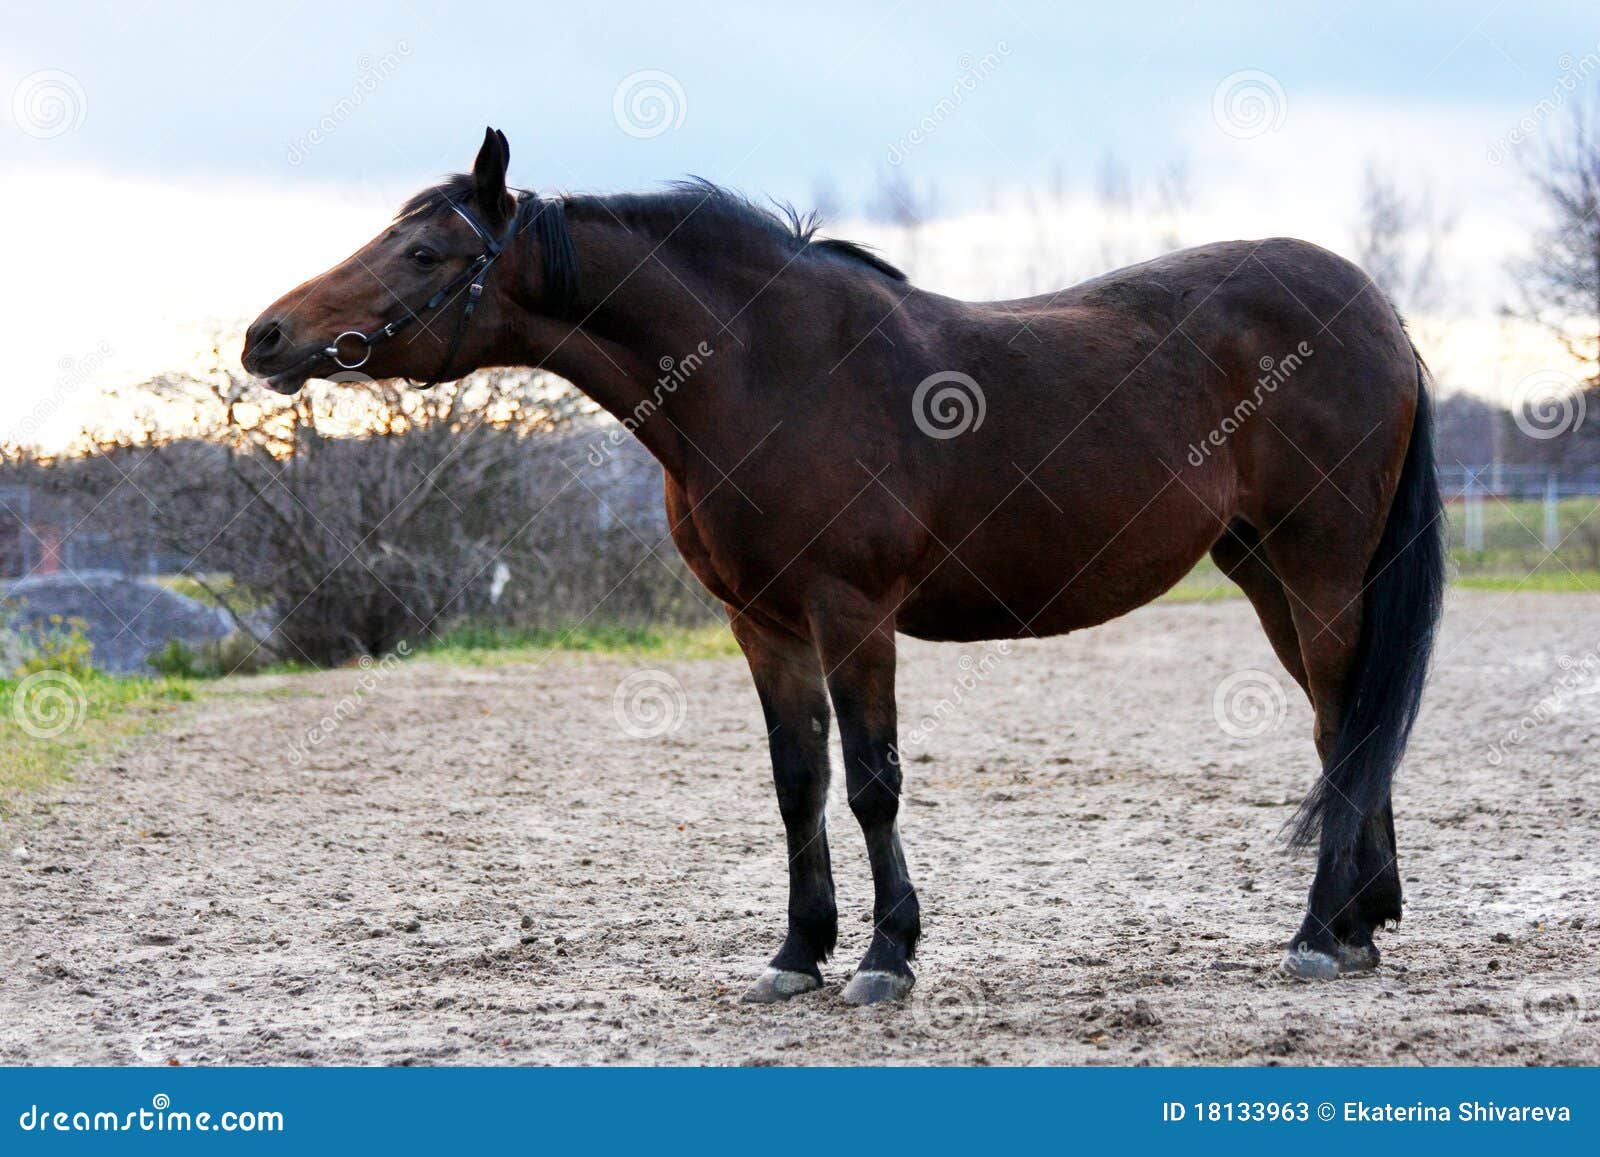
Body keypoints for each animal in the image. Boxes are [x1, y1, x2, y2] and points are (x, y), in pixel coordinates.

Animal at [243, 127, 1445, 1004]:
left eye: (425, 254)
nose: (267, 336)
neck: (766, 368)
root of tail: (1376, 312)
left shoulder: (851, 613)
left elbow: (871, 781)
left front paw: (884, 955)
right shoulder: (765, 623)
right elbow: (798, 784)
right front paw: (794, 953)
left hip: (1319, 565)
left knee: (1348, 723)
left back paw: (1316, 931)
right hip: (1266, 571)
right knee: (1344, 725)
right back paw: (1358, 924)